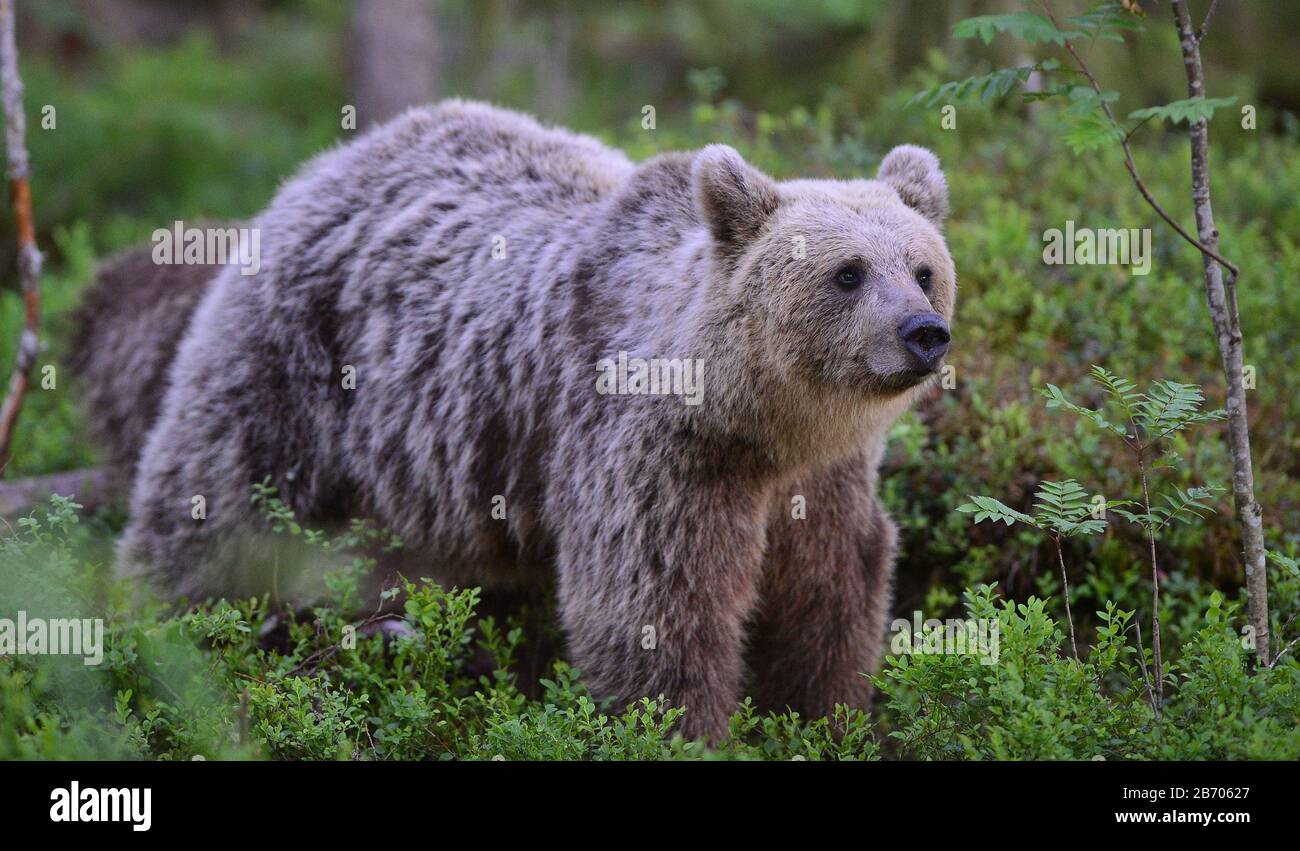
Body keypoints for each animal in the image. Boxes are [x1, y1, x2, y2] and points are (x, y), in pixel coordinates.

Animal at [73, 100, 955, 741]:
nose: (924, 331)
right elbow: (654, 607)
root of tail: (323, 167)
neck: (759, 420)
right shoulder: (653, 457)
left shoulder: (822, 480)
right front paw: (685, 728)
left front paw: (827, 718)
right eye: (848, 272)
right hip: (293, 373)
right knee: (211, 506)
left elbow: (833, 594)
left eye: (922, 268)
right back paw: (159, 630)